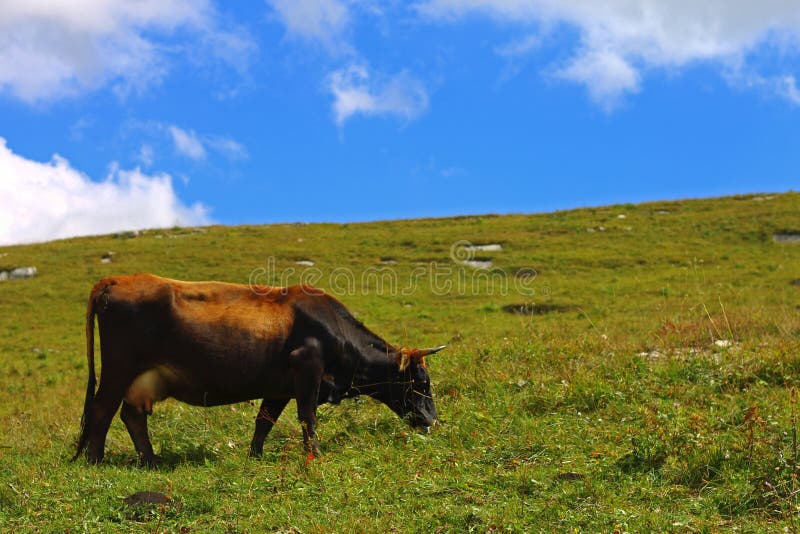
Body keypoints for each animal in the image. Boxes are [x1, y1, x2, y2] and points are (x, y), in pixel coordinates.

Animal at [72, 274, 444, 465]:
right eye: (421, 382)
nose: (433, 421)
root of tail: (115, 280)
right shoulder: (306, 367)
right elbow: (308, 417)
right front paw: (315, 455)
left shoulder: (279, 388)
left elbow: (264, 421)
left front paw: (255, 455)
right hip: (119, 369)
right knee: (102, 410)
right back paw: (96, 460)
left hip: (142, 379)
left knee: (132, 415)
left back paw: (150, 460)